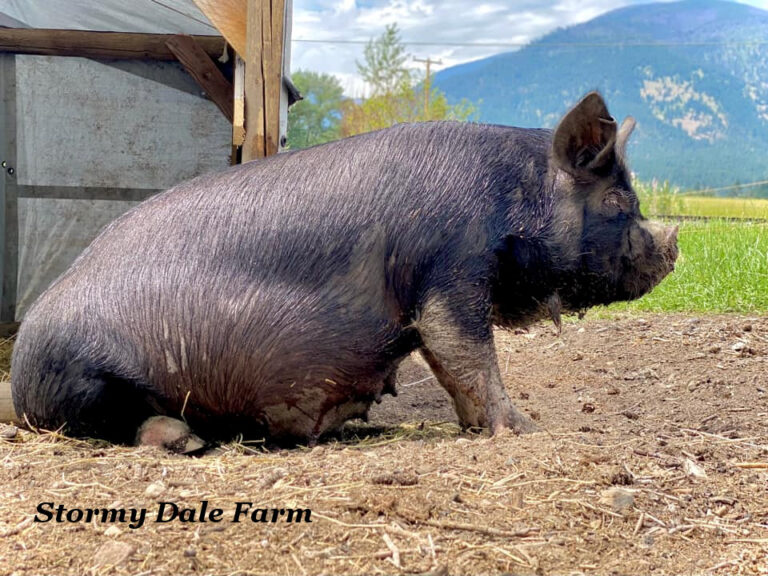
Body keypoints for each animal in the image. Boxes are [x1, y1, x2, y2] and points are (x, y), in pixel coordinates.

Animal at [11, 92, 677, 446]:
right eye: (616, 204)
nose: (673, 251)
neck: (511, 198)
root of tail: (17, 375)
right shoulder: (449, 269)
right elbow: (468, 353)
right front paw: (527, 430)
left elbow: (449, 365)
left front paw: (478, 428)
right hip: (85, 378)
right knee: (116, 422)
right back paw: (184, 440)